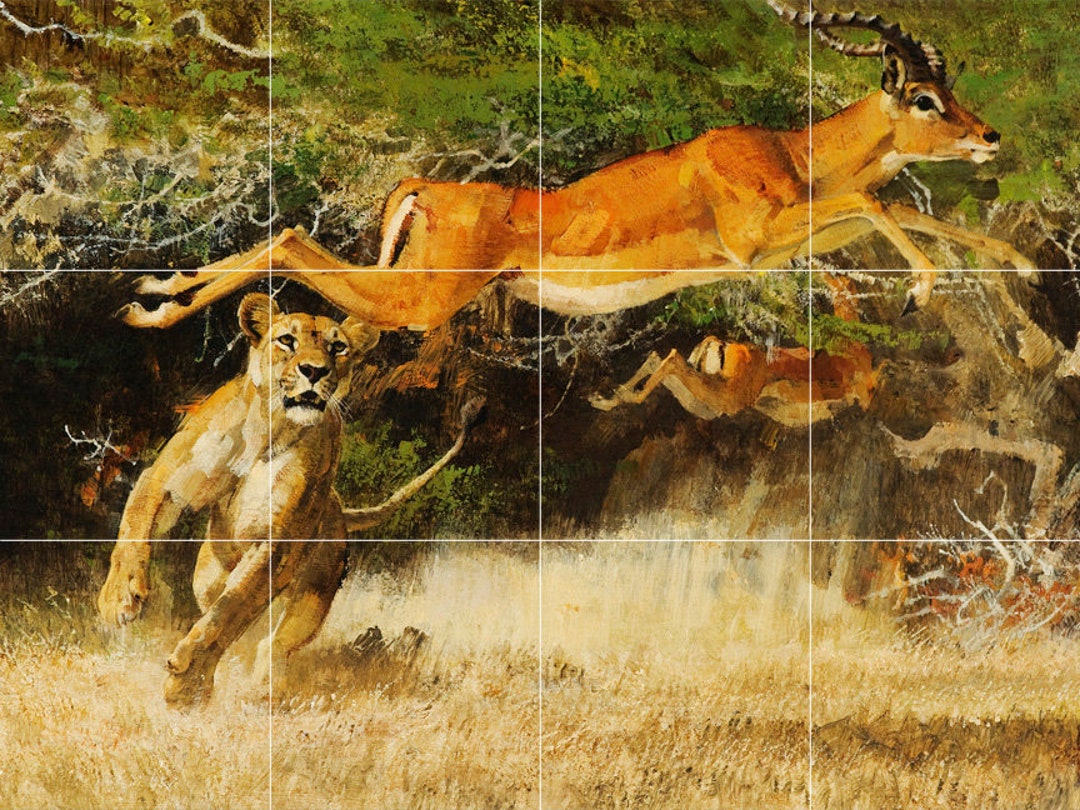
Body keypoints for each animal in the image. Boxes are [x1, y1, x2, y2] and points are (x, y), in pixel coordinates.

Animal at [99, 292, 480, 705]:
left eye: (338, 347)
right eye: (287, 340)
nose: (313, 371)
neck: (271, 425)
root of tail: (338, 509)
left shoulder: (278, 539)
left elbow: (231, 610)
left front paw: (187, 680)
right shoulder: (167, 478)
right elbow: (134, 523)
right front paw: (117, 599)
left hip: (314, 594)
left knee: (275, 642)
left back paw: (263, 689)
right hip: (207, 577)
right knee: (228, 608)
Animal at [120, 3, 1030, 334]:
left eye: (951, 89)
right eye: (923, 97)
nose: (990, 136)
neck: (790, 152)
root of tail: (426, 188)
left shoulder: (794, 238)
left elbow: (898, 210)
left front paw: (1016, 264)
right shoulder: (757, 241)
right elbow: (881, 209)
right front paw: (920, 290)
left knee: (290, 238)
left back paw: (154, 293)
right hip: (421, 299)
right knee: (288, 239)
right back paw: (152, 309)